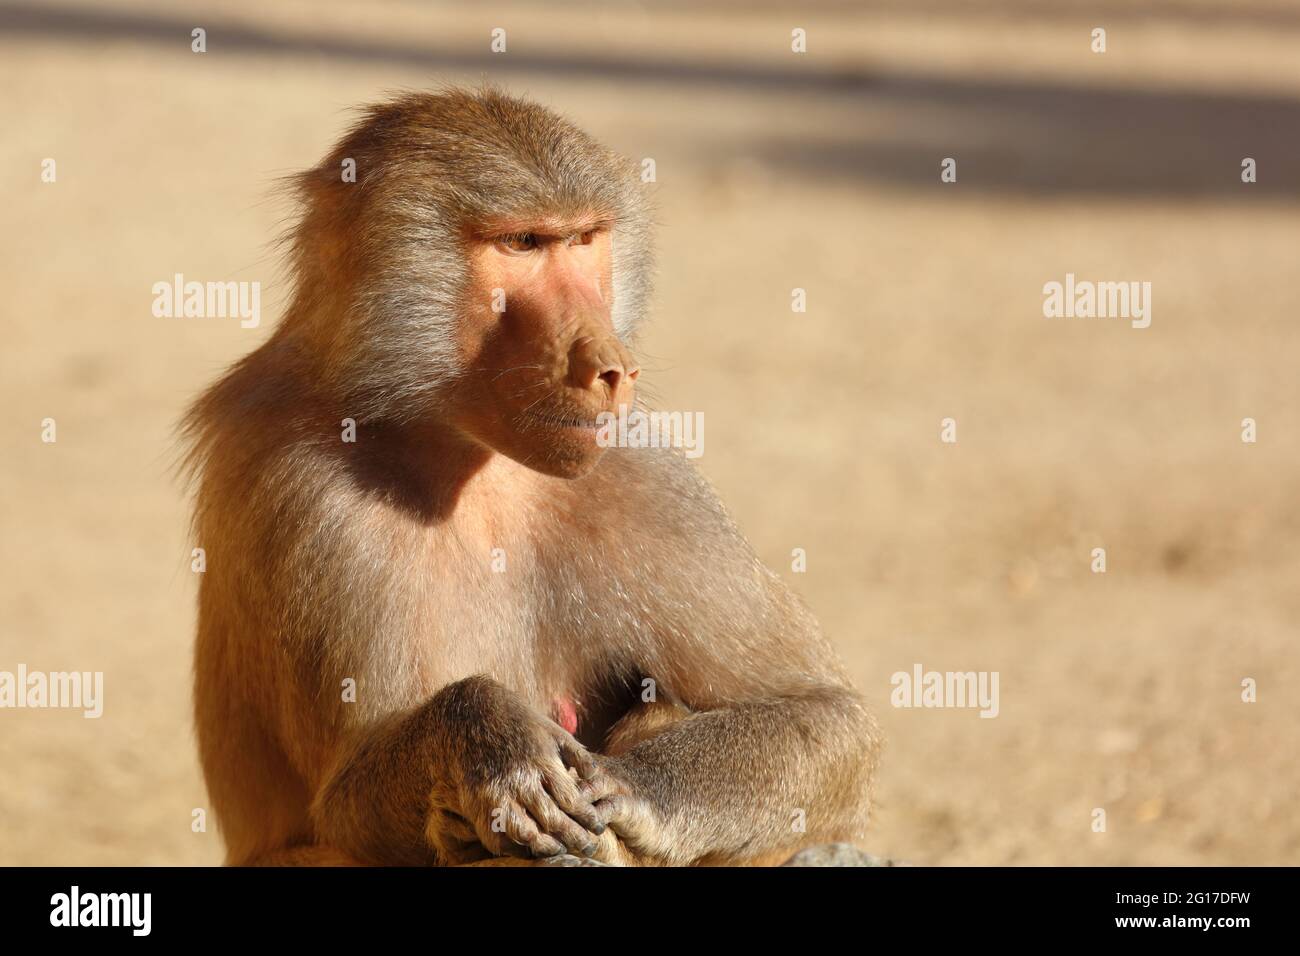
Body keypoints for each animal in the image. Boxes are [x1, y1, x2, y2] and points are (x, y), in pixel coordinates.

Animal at [183, 87, 881, 867]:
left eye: (583, 240)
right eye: (522, 244)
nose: (611, 369)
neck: (450, 446)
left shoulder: (643, 474)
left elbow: (828, 715)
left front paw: (631, 788)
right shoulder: (303, 493)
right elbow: (344, 807)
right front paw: (486, 743)